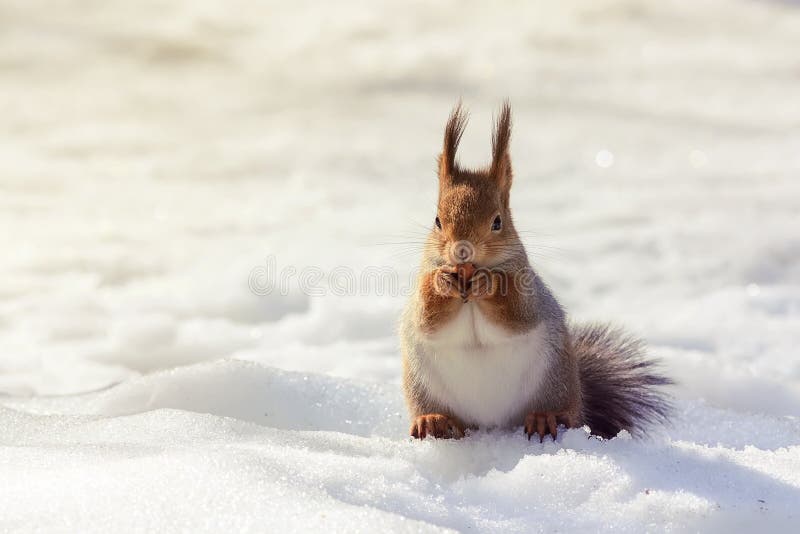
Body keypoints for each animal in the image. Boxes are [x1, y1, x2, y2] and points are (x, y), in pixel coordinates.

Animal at [400, 102, 672, 441]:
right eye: (437, 221)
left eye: (498, 221)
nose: (462, 250)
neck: (469, 276)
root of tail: (492, 425)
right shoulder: (423, 290)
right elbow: (427, 318)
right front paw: (442, 282)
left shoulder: (528, 291)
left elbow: (516, 314)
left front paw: (489, 283)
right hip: (421, 386)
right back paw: (433, 420)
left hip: (556, 382)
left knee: (565, 414)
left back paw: (545, 418)